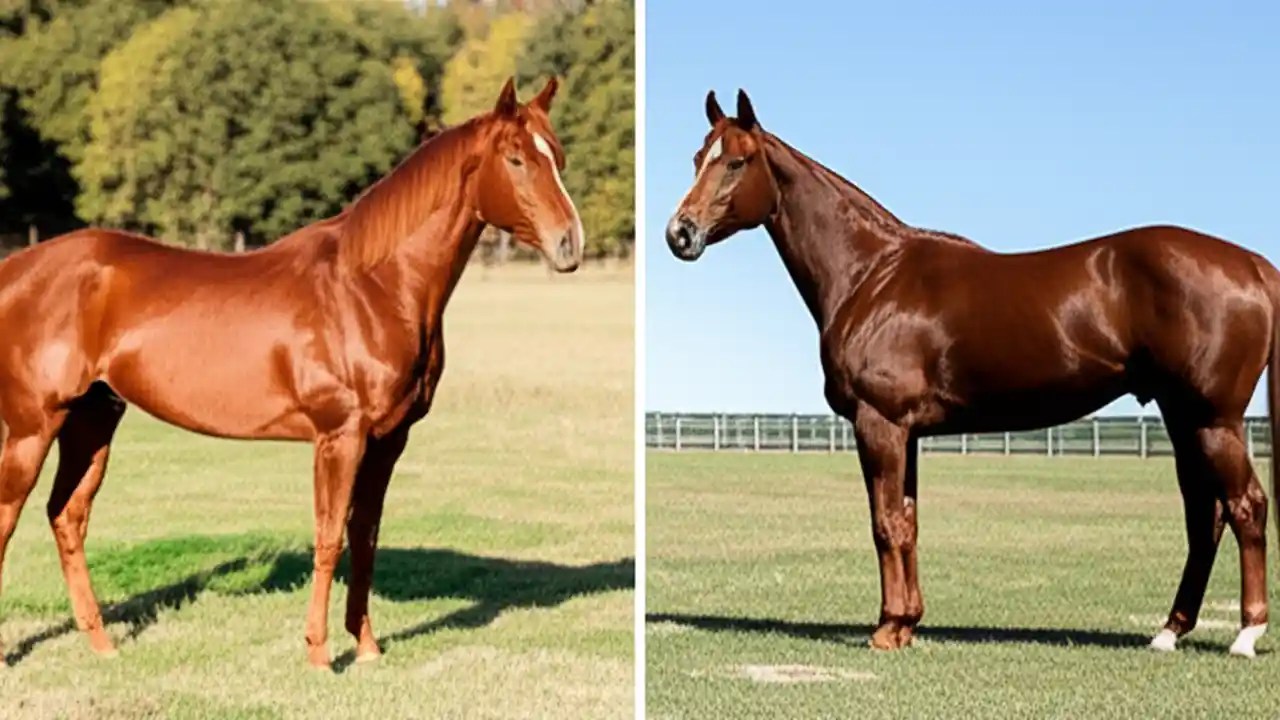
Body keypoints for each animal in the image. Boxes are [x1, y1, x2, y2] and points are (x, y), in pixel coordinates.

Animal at [0, 76, 585, 669]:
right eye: (516, 159)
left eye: (557, 157)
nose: (570, 244)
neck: (371, 287)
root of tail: (16, 269)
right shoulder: (339, 437)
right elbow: (329, 538)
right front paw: (320, 654)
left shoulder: (389, 441)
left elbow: (364, 538)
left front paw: (367, 648)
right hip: (32, 428)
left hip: (92, 420)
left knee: (67, 517)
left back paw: (102, 643)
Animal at [664, 88, 1280, 658]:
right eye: (698, 157)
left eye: (738, 161)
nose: (680, 234)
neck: (871, 274)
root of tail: (1253, 266)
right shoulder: (906, 432)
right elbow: (908, 520)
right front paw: (906, 623)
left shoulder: (878, 423)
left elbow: (885, 523)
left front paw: (886, 630)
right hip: (1183, 419)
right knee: (1205, 517)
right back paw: (1169, 631)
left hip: (1214, 420)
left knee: (1247, 507)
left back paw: (1246, 634)